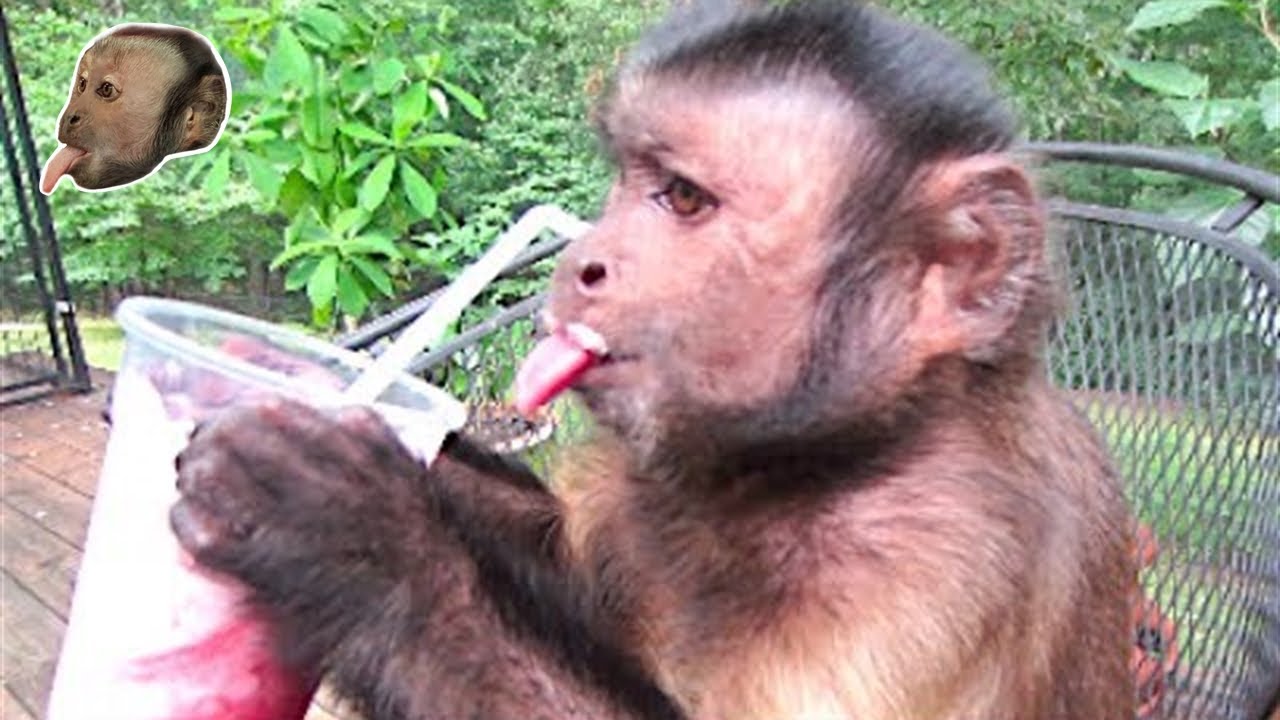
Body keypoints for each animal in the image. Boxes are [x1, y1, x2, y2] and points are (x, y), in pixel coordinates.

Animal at [170, 1, 1135, 718]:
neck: (831, 458)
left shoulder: (928, 559)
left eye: (683, 199)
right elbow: (562, 561)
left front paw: (349, 535)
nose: (581, 259)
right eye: (628, 182)